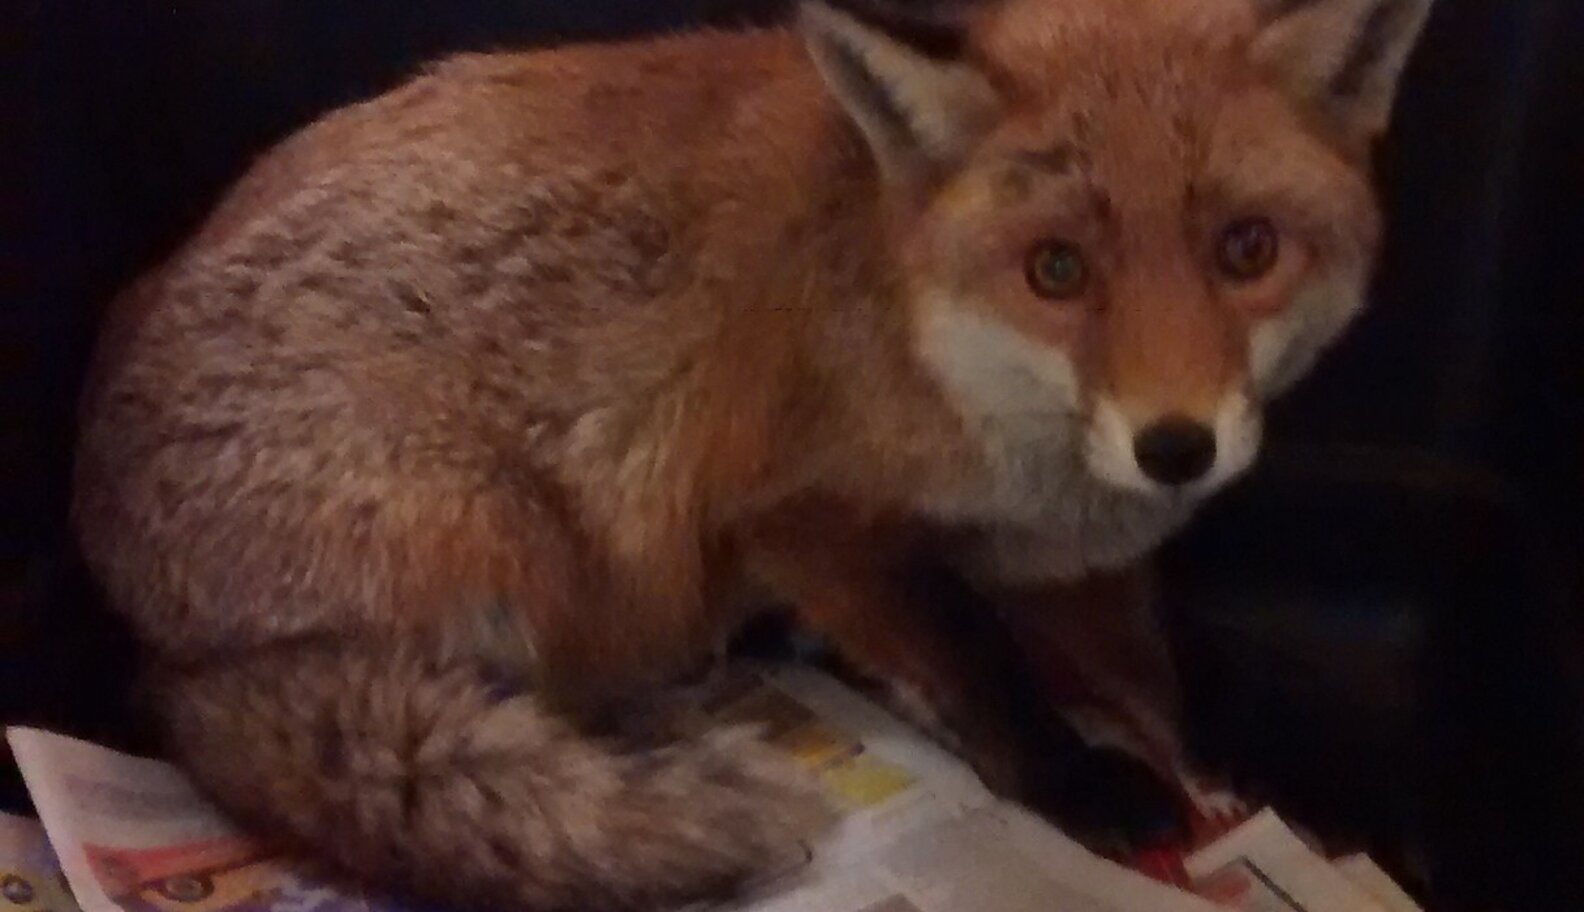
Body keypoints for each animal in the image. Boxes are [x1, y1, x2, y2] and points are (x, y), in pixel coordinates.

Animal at [71, 0, 1433, 909]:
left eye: (1246, 249)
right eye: (1058, 271)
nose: (1175, 446)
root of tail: (156, 660)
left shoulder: (1071, 557)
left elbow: (1166, 675)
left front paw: (1249, 769)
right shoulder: (798, 520)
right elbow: (978, 662)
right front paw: (1076, 782)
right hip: (534, 558)